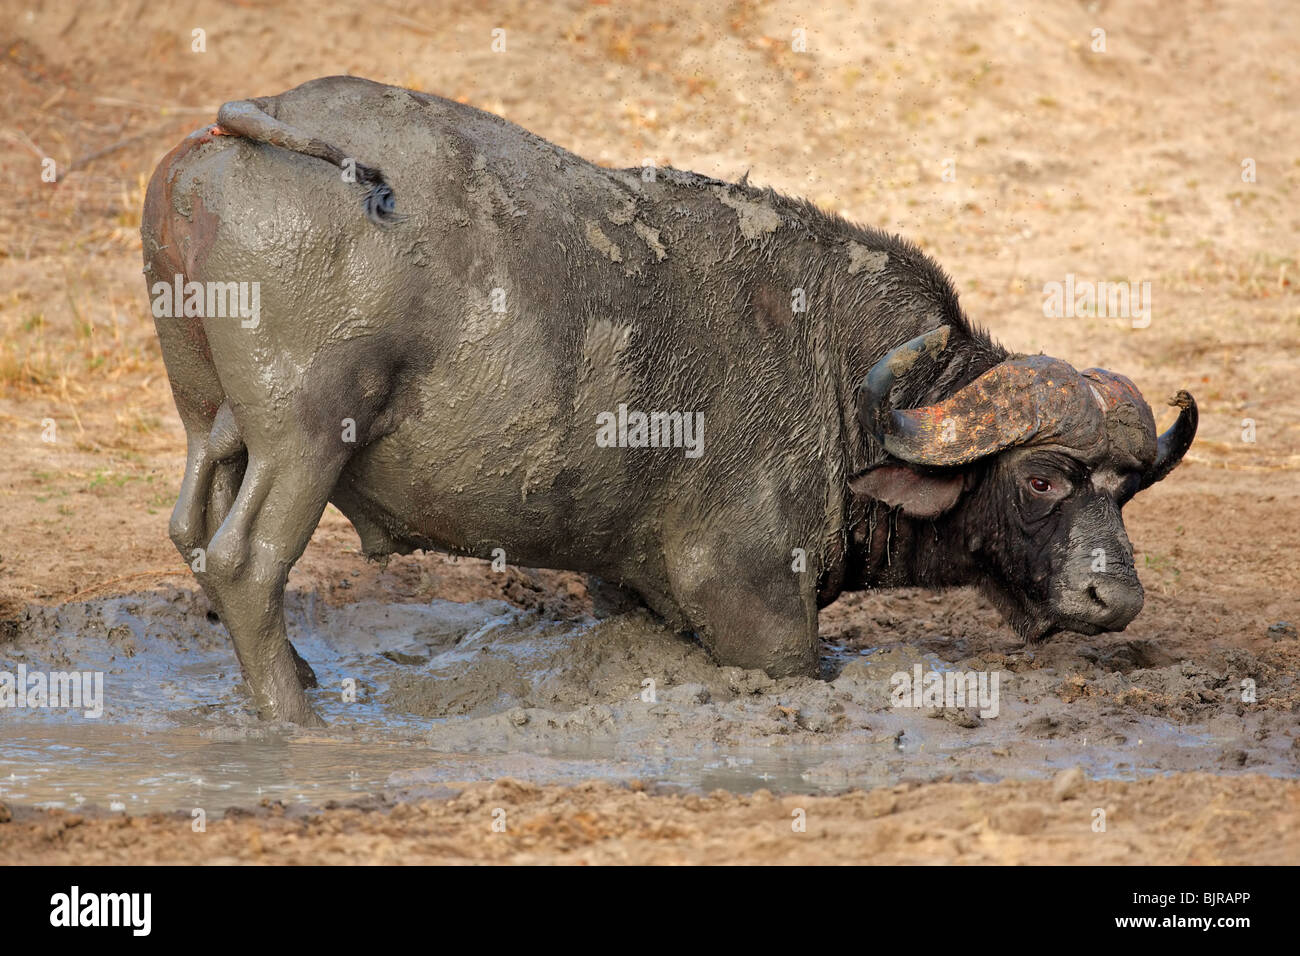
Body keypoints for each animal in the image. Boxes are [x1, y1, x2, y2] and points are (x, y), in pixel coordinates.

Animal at [141, 76, 1196, 725]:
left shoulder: (627, 583)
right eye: (1044, 478)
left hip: (213, 426)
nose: (1115, 596)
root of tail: (239, 131)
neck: (844, 378)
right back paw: (295, 713)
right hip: (307, 435)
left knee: (193, 531)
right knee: (243, 561)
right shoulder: (754, 602)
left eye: (1127, 490)